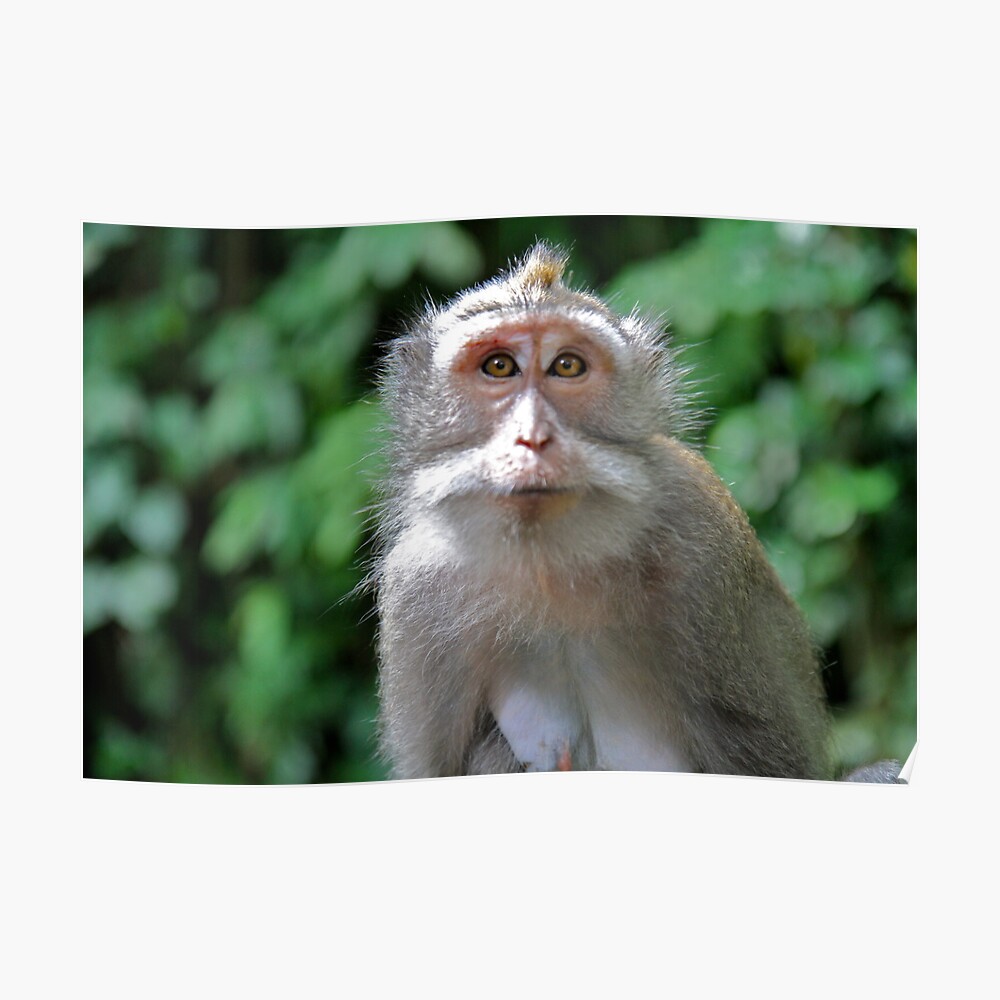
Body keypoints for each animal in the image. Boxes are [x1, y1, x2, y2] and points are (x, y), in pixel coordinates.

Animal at [372, 242, 901, 783]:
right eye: (499, 367)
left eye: (567, 366)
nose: (533, 437)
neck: (551, 566)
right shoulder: (417, 590)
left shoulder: (703, 537)